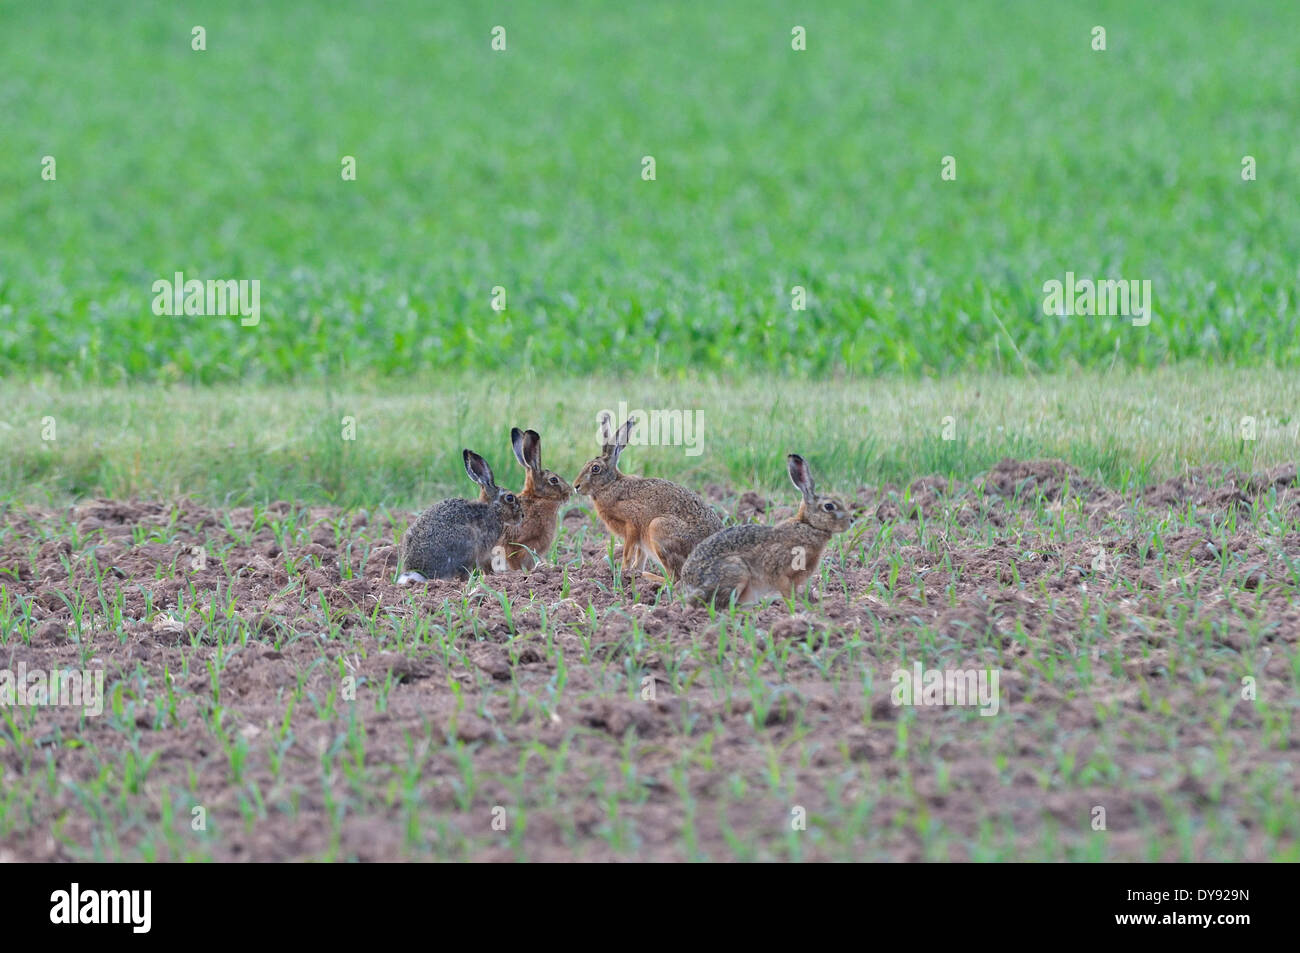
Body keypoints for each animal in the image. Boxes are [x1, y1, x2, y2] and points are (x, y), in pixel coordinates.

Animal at [398, 449, 523, 584]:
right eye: (510, 498)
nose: (522, 516)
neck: (493, 509)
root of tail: (420, 572)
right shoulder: (485, 549)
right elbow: (486, 564)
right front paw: (492, 576)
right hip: (466, 545)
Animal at [573, 413, 722, 581]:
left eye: (595, 468)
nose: (576, 486)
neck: (610, 484)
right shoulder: (641, 539)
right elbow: (640, 556)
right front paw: (633, 572)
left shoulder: (633, 524)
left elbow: (627, 553)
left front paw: (623, 573)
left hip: (658, 528)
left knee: (674, 579)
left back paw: (648, 576)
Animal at [679, 454, 853, 606]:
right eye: (829, 506)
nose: (851, 521)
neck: (808, 525)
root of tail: (688, 584)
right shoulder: (779, 570)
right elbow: (785, 590)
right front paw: (796, 606)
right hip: (736, 571)